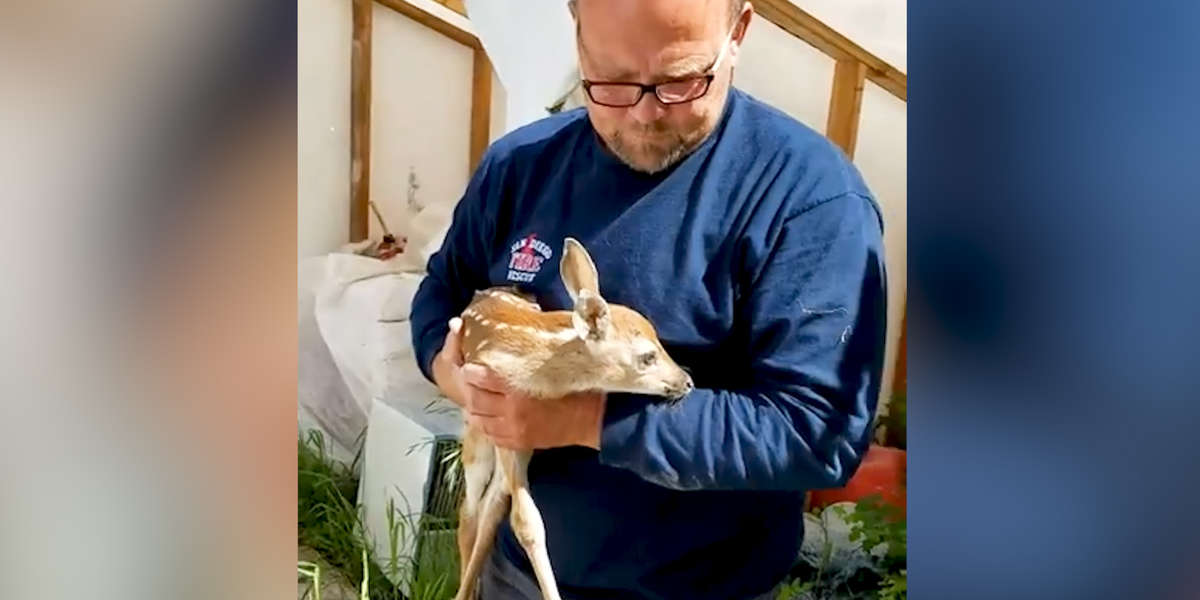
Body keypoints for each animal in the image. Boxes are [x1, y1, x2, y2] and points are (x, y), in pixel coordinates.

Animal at [448, 237, 694, 600]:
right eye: (648, 356)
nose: (687, 382)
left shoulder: (519, 435)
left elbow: (513, 513)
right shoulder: (498, 408)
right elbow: (527, 523)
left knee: (490, 507)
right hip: (476, 433)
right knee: (469, 511)